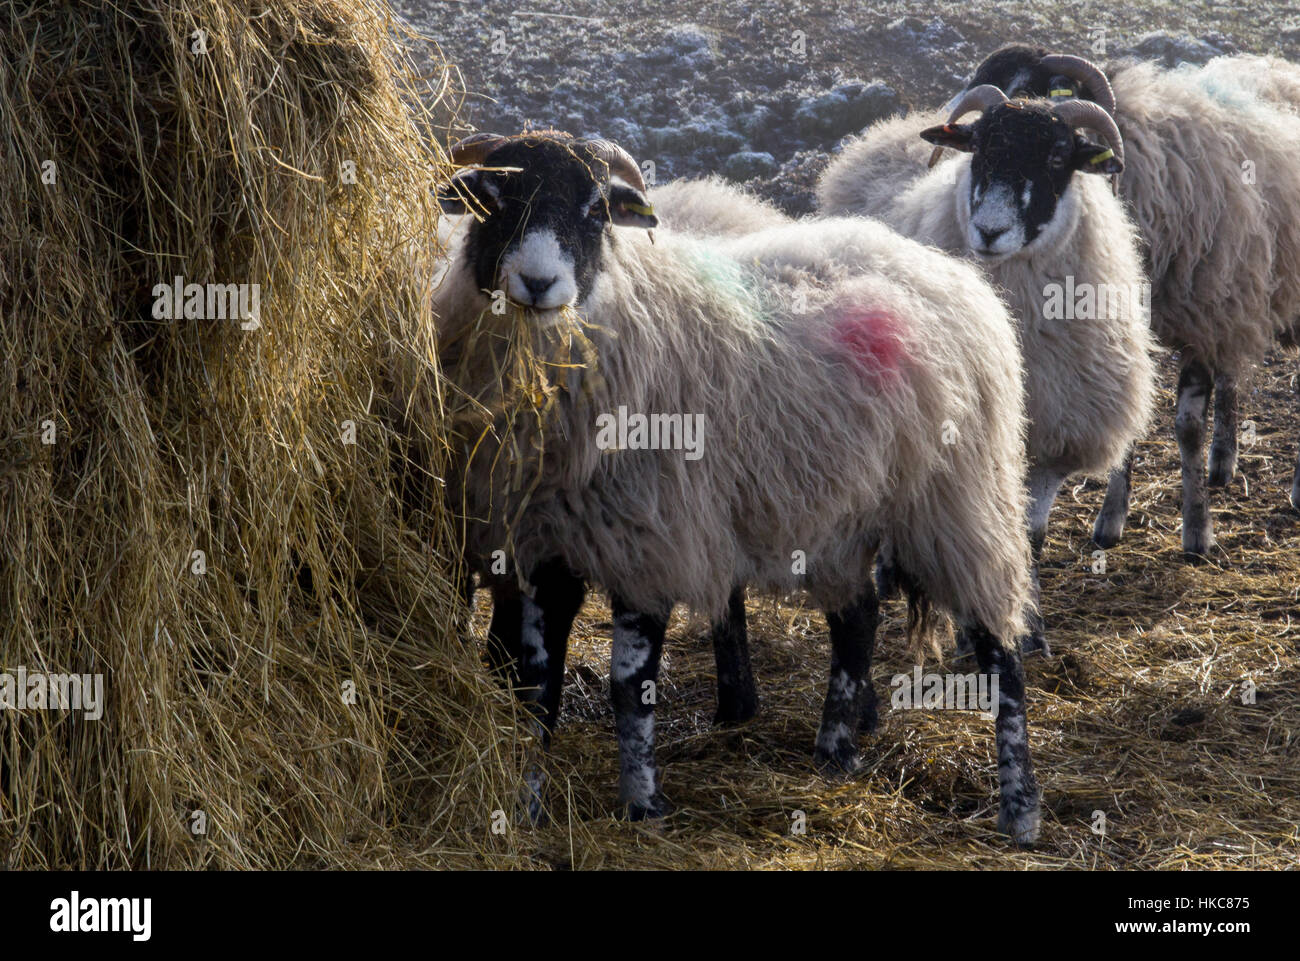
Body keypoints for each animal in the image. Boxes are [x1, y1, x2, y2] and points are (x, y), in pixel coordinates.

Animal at [434, 131, 1041, 842]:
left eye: (595, 210)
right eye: (491, 200)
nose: (537, 283)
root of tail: (950, 275)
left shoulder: (653, 540)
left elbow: (630, 687)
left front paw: (643, 805)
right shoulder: (537, 543)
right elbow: (532, 687)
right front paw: (527, 801)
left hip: (958, 501)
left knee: (1001, 653)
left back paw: (1019, 808)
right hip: (842, 511)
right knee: (857, 617)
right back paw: (834, 752)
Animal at [818, 90, 1157, 653]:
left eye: (1058, 157)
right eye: (978, 147)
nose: (990, 231)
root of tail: (898, 125)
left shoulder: (1053, 439)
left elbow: (1030, 536)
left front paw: (1033, 630)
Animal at [948, 46, 1300, 555]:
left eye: (1056, 150)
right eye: (976, 141)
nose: (991, 226)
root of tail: (1273, 64)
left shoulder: (1201, 313)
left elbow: (1187, 427)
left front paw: (1197, 530)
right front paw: (1110, 519)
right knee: (1232, 371)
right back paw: (1223, 461)